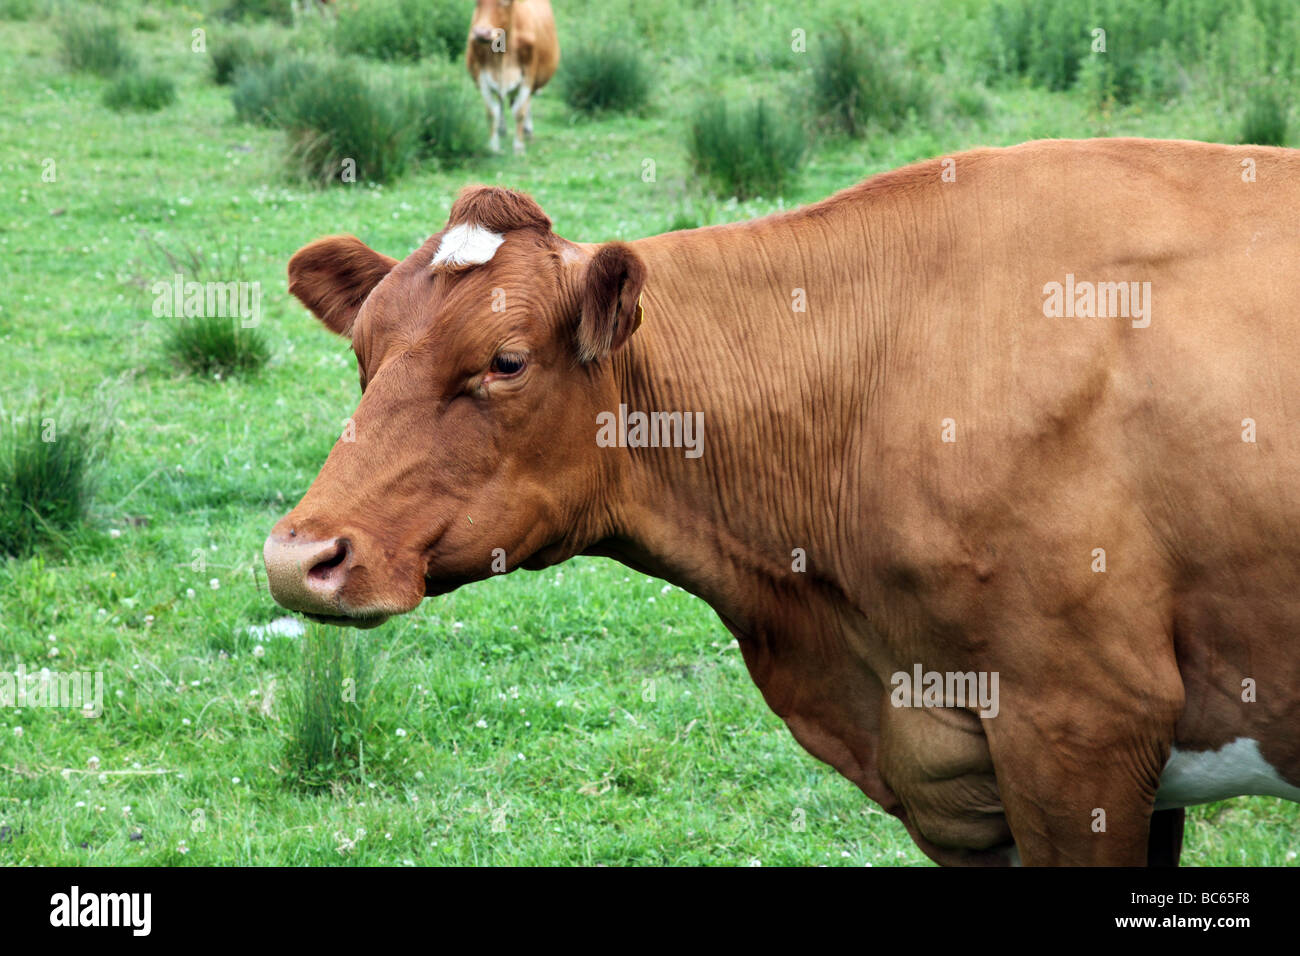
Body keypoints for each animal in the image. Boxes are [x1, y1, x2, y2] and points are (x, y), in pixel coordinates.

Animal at [466, 0, 559, 154]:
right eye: (477, 2)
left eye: (505, 2)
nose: (481, 33)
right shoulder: (482, 76)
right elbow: (492, 112)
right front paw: (493, 146)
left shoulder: (529, 75)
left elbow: (520, 111)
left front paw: (519, 147)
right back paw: (501, 129)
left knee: (526, 103)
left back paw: (527, 130)